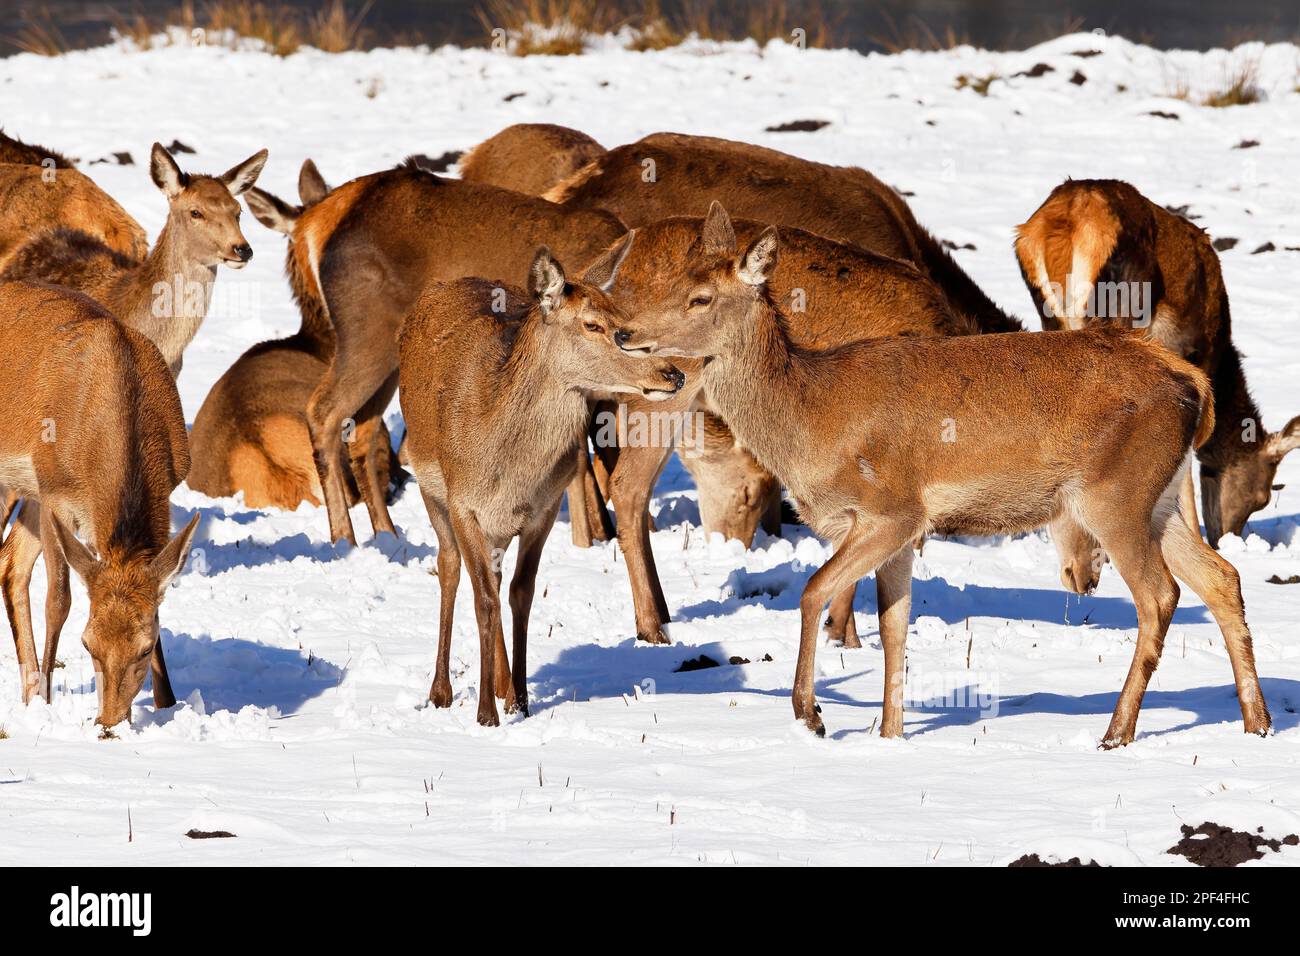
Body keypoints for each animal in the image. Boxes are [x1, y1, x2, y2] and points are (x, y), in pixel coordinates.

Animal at [0, 281, 198, 728]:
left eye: (145, 647)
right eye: (87, 644)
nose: (108, 721)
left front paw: (168, 704)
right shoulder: (55, 493)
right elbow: (58, 600)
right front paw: (48, 704)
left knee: (9, 563)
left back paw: (26, 696)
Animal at [286, 157, 627, 546]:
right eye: (594, 325)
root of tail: (316, 224)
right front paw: (589, 540)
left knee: (362, 428)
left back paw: (387, 534)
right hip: (366, 331)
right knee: (323, 412)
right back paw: (345, 537)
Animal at [398, 242, 684, 725]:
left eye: (624, 318)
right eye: (593, 324)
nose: (673, 374)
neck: (509, 470)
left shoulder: (544, 509)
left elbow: (521, 593)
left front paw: (520, 700)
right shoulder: (462, 502)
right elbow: (484, 599)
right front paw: (486, 715)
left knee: (493, 579)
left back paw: (500, 683)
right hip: (428, 485)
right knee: (450, 568)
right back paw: (440, 691)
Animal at [614, 204, 1270, 747]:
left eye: (700, 297)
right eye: (670, 281)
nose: (624, 331)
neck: (810, 418)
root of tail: (1194, 384)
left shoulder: (891, 508)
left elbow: (813, 590)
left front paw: (811, 715)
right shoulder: (902, 532)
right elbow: (894, 625)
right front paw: (889, 734)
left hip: (1115, 494)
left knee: (1160, 594)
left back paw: (1117, 732)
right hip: (1161, 498)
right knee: (1222, 578)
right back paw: (1255, 722)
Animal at [1016, 179, 1300, 590]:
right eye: (1261, 496)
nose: (1228, 537)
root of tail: (1060, 225)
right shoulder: (1185, 354)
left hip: (1050, 313)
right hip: (1114, 309)